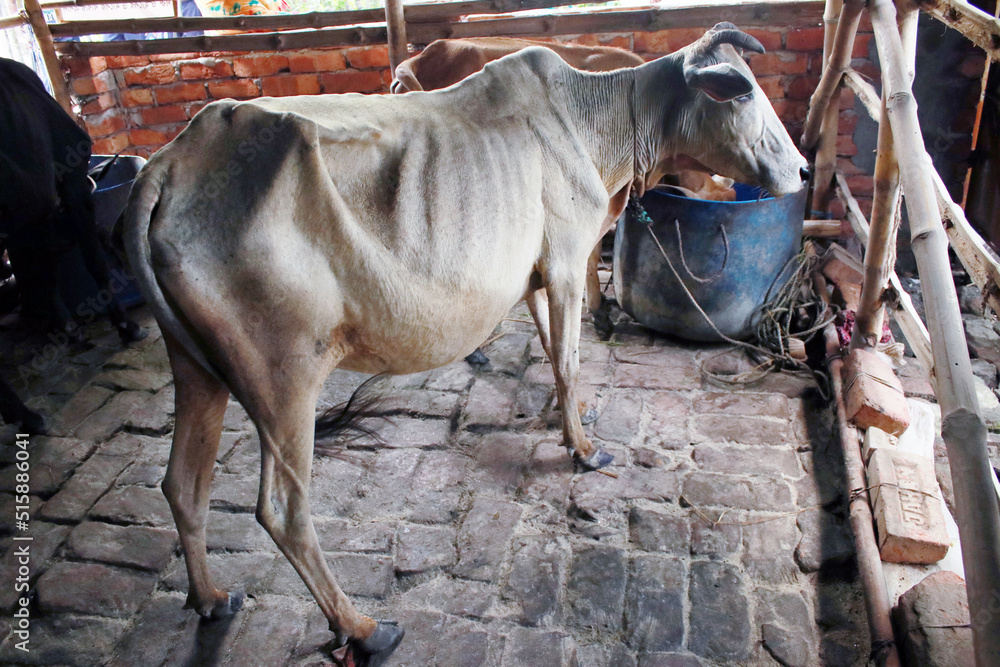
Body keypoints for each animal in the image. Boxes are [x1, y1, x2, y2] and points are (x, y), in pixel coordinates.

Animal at [122, 23, 808, 665]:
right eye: (743, 91)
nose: (803, 170)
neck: (598, 121)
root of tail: (171, 164)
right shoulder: (566, 261)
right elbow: (569, 357)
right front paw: (584, 450)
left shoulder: (535, 273)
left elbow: (552, 353)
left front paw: (569, 418)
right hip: (284, 374)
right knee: (282, 509)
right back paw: (363, 629)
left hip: (197, 367)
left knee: (183, 485)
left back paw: (211, 598)